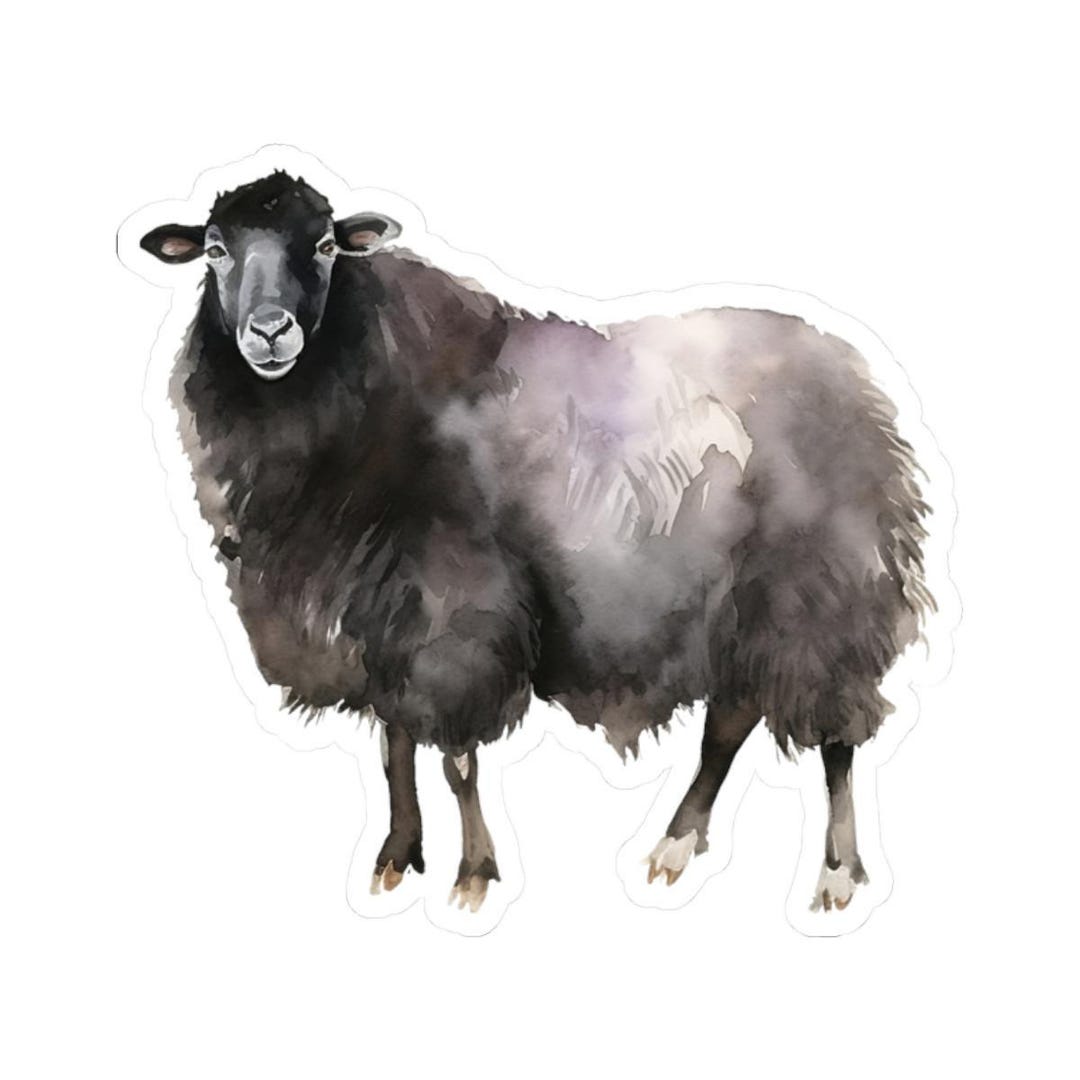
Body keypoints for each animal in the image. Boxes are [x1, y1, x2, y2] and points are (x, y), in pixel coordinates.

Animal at [139, 170, 933, 915]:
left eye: (328, 246)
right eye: (215, 250)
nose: (270, 331)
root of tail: (860, 382)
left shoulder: (458, 614)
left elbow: (457, 760)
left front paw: (472, 876)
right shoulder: (379, 623)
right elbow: (395, 746)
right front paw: (396, 857)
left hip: (822, 594)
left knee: (834, 735)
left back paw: (836, 873)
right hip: (739, 610)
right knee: (731, 722)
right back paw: (676, 845)